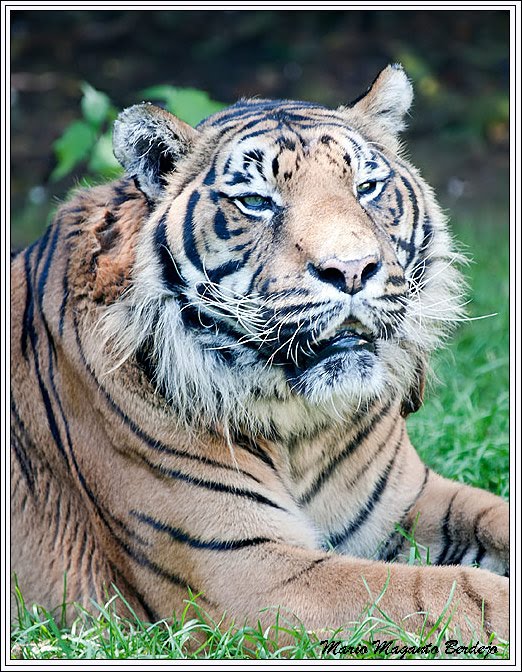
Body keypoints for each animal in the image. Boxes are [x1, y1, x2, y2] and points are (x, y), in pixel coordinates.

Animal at [11, 64, 509, 645]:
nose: (352, 270)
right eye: (256, 202)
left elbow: (495, 517)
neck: (305, 428)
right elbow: (447, 593)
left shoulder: (409, 502)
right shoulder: (249, 571)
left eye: (366, 188)